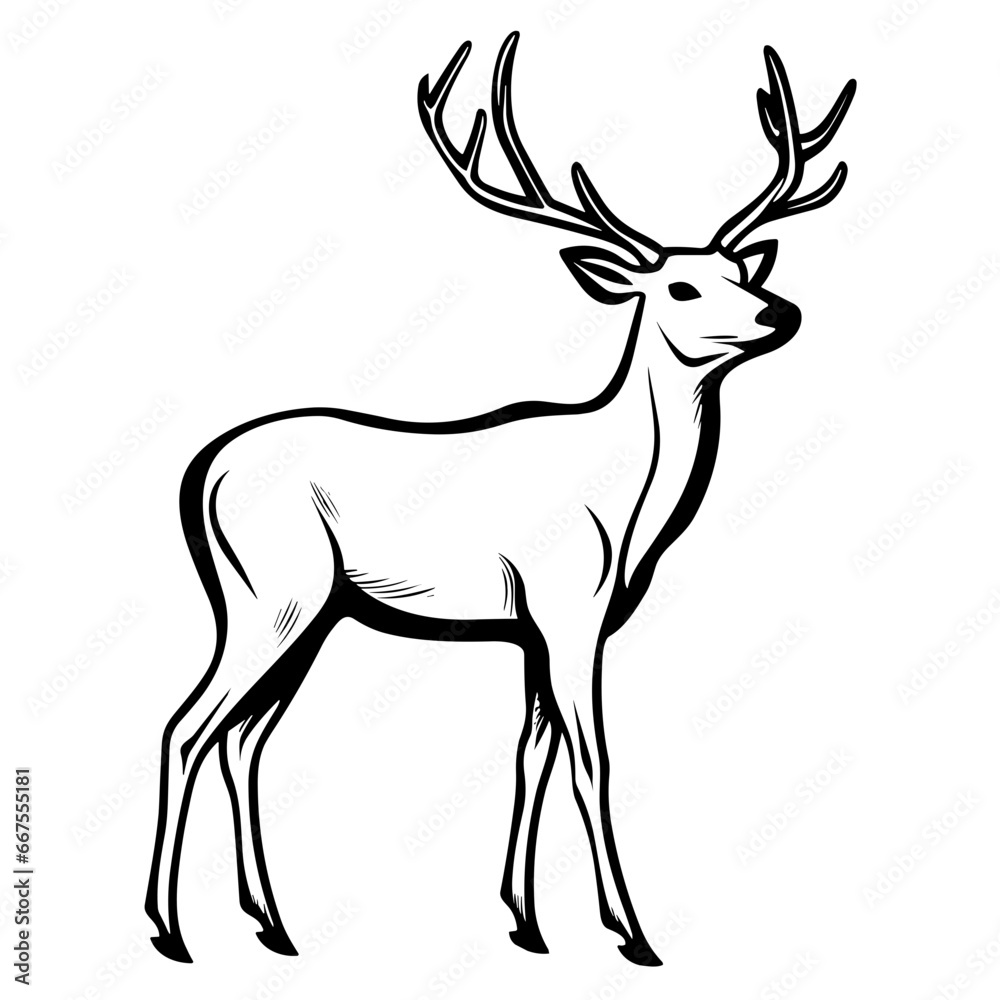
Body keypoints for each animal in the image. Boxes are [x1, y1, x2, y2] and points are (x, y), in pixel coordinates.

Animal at [146, 31, 855, 967]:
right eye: (680, 287)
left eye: (742, 268)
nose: (781, 312)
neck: (631, 513)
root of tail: (202, 474)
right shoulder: (569, 609)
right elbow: (592, 760)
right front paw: (633, 933)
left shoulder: (537, 629)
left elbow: (531, 755)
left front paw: (525, 921)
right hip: (272, 593)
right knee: (187, 727)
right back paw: (169, 931)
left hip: (311, 610)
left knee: (245, 741)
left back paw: (273, 925)